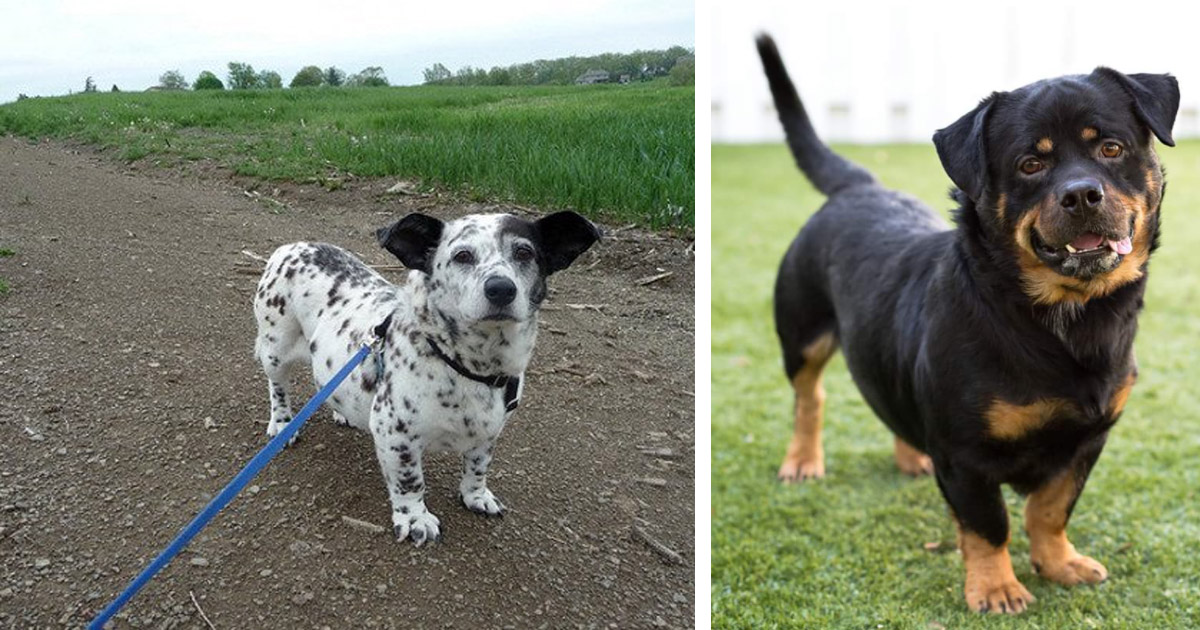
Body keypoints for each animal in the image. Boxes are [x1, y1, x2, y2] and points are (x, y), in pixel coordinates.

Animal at [258, 212, 604, 544]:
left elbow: (478, 466)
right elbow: (410, 481)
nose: (501, 288)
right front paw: (415, 519)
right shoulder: (395, 435)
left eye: (524, 252)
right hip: (275, 349)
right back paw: (283, 423)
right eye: (462, 255)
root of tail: (292, 246)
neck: (469, 367)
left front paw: (476, 496)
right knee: (278, 387)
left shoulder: (489, 431)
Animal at [758, 35, 1180, 614]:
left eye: (1111, 149)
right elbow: (988, 524)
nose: (1081, 194)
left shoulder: (1087, 441)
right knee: (809, 397)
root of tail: (858, 187)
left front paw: (1058, 562)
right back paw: (803, 460)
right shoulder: (965, 457)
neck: (1061, 320)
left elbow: (1050, 509)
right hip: (801, 336)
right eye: (1030, 164)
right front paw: (996, 587)